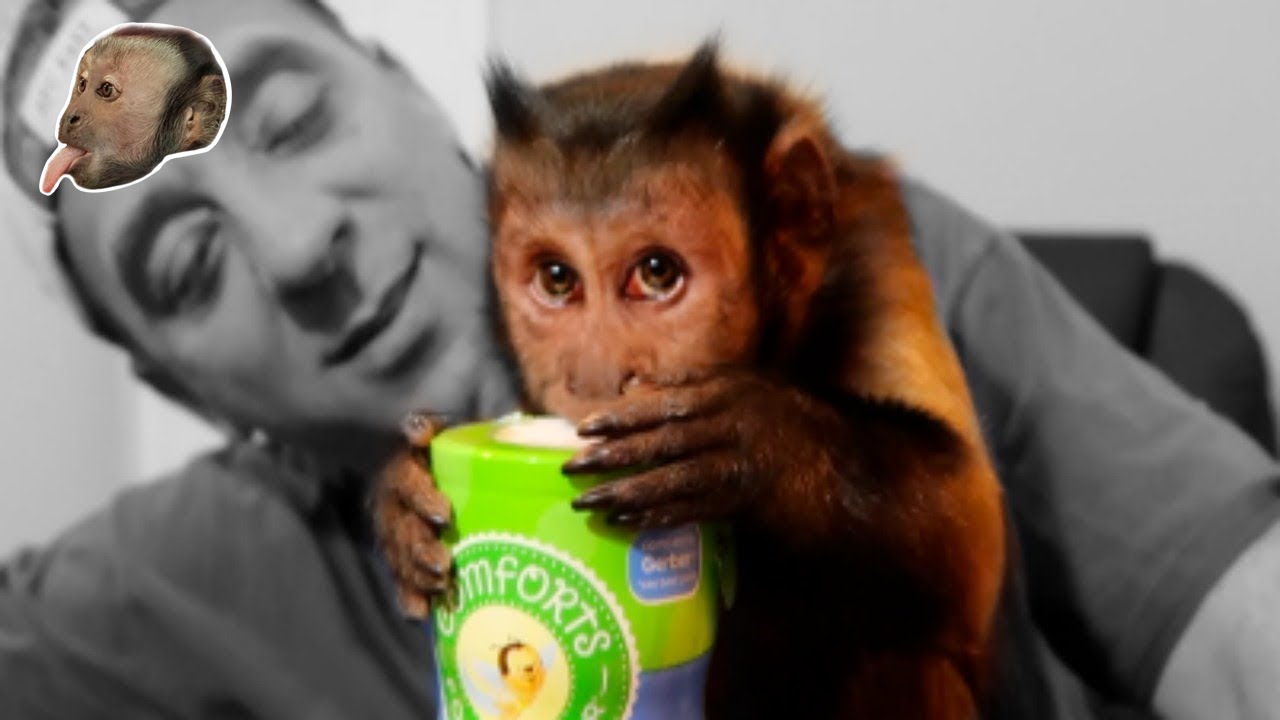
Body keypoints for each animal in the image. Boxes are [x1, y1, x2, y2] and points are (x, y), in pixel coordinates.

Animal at [375, 43, 1008, 719]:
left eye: (657, 272)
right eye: (556, 279)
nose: (598, 375)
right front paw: (404, 500)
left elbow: (971, 535)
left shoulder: (871, 255)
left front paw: (760, 443)